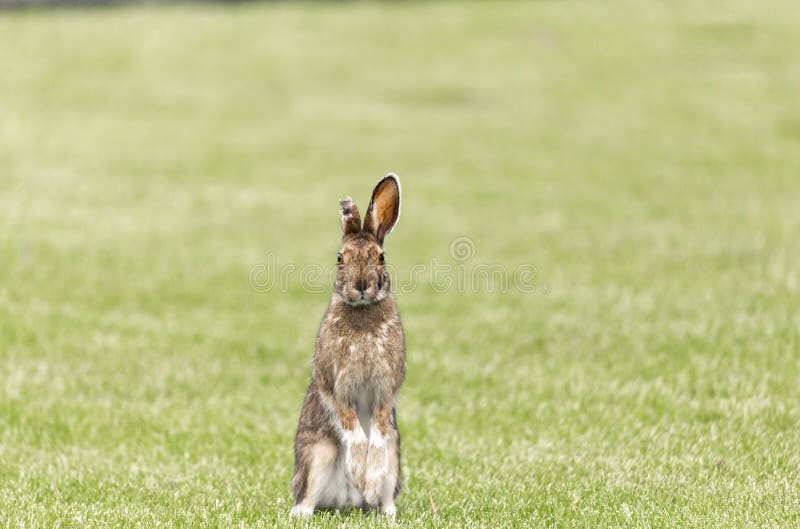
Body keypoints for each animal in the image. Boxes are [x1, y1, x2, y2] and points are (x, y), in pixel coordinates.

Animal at [290, 174, 405, 519]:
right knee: (307, 496)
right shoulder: (335, 384)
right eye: (340, 258)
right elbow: (352, 427)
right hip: (318, 455)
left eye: (381, 257)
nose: (362, 285)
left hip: (396, 455)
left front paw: (369, 475)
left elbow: (376, 431)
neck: (363, 310)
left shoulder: (386, 387)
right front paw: (359, 469)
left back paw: (380, 504)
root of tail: (346, 501)